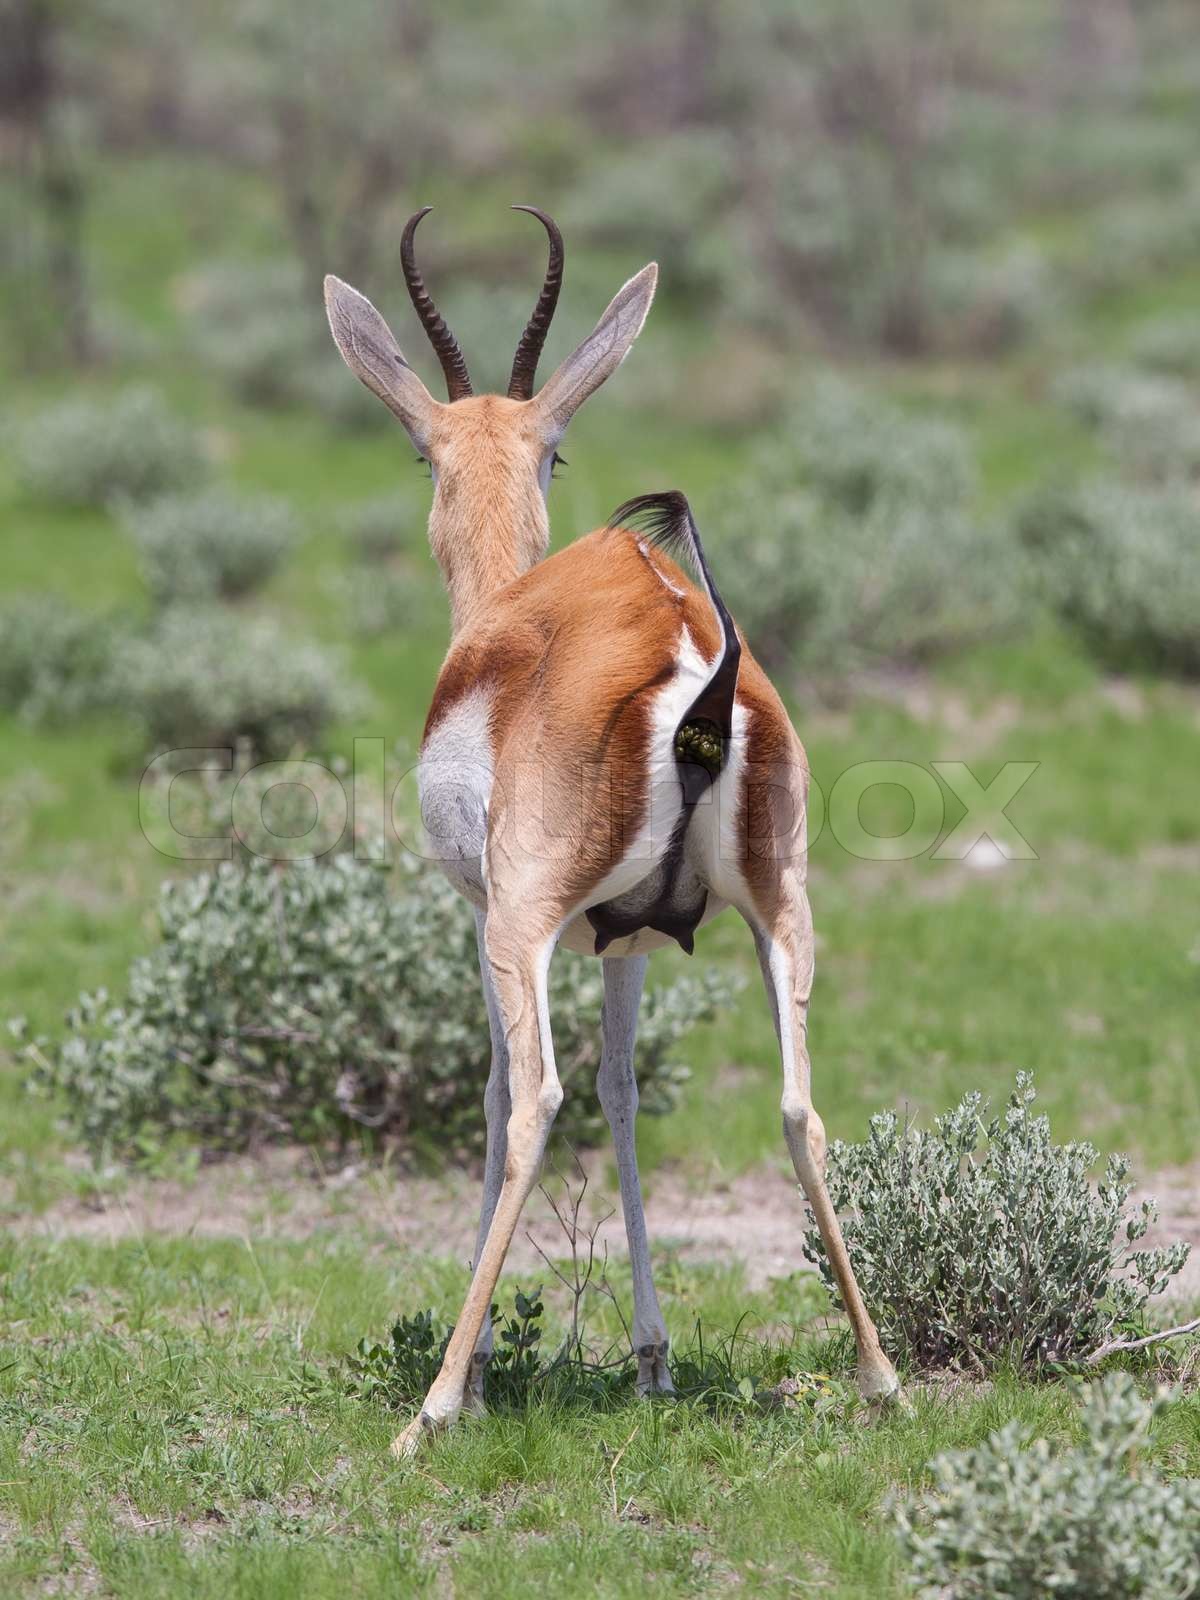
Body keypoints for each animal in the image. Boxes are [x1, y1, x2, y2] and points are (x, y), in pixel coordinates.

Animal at [324, 206, 900, 1457]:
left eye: (423, 454)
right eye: (553, 451)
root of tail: (692, 655)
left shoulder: (491, 915)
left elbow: (505, 1094)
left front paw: (483, 1372)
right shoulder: (631, 937)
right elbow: (626, 1088)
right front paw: (652, 1360)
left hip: (526, 925)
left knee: (534, 1102)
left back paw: (430, 1407)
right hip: (782, 913)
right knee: (799, 1102)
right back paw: (882, 1375)